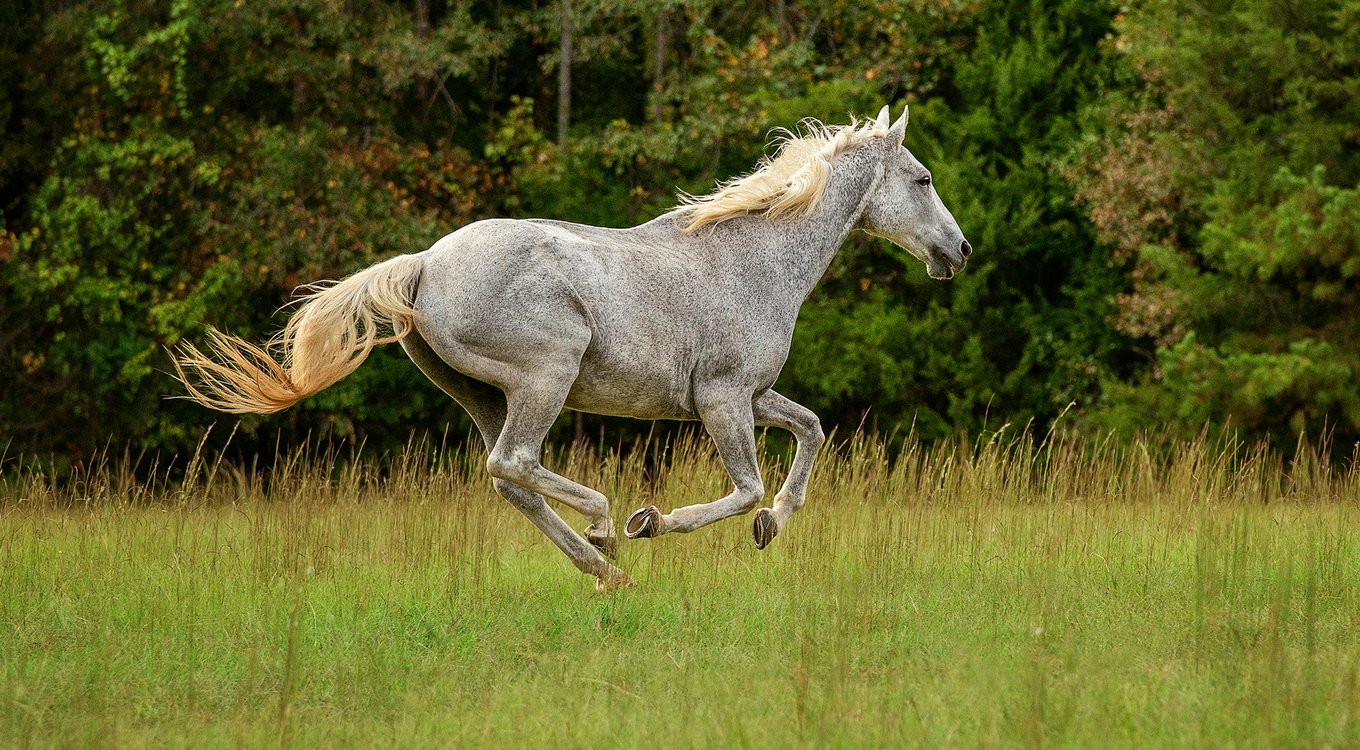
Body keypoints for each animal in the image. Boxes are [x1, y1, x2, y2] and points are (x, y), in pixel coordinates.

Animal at [173, 105, 971, 592]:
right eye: (923, 178)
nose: (959, 252)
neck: (755, 260)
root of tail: (424, 263)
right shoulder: (721, 398)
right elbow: (743, 487)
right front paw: (660, 521)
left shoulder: (750, 394)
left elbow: (811, 428)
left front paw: (776, 522)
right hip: (545, 375)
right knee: (515, 463)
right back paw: (610, 528)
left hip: (483, 395)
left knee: (509, 480)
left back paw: (607, 568)